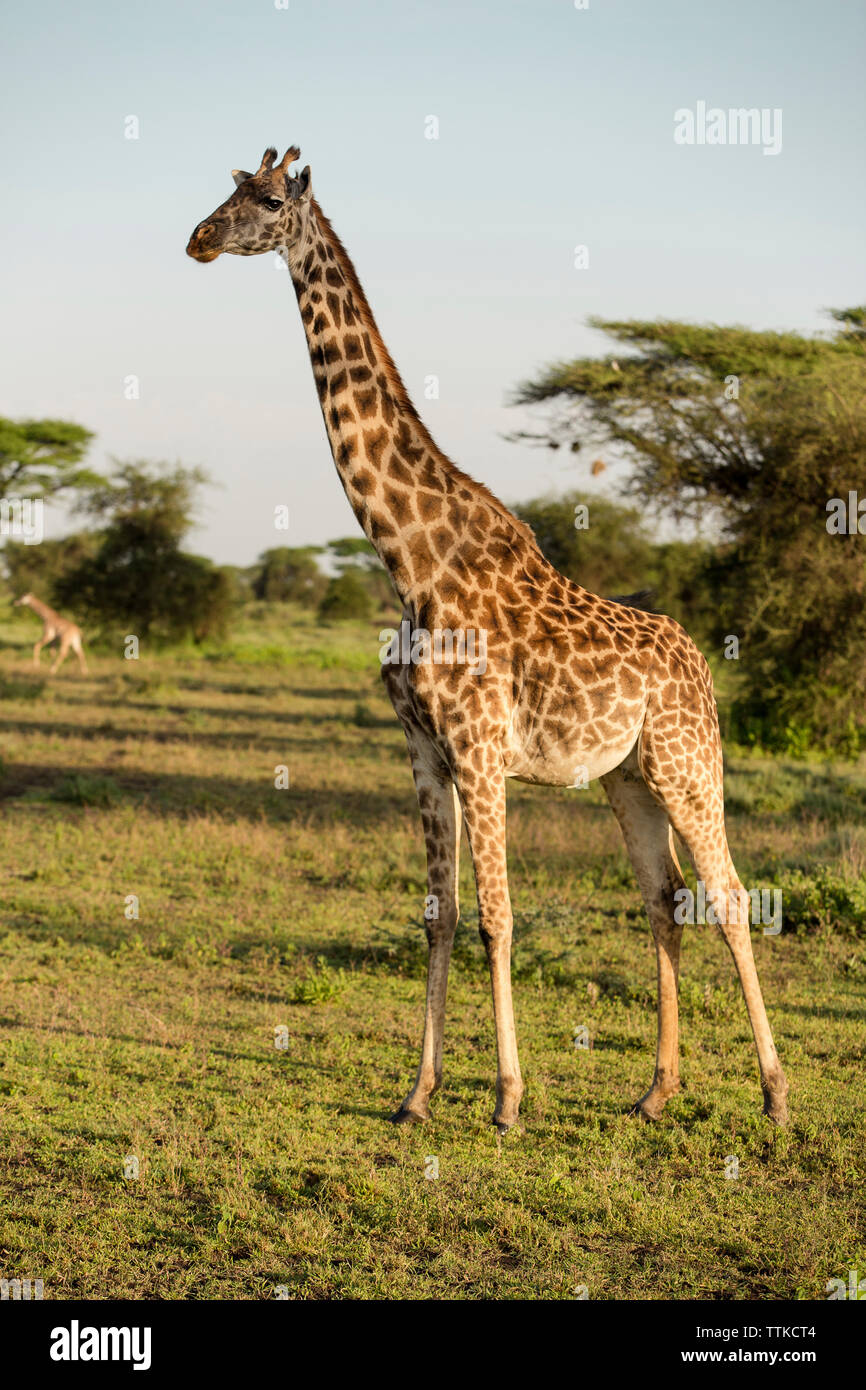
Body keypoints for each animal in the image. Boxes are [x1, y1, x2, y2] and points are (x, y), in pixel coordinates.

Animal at [186, 146, 789, 1133]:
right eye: (227, 191)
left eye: (267, 201)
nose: (198, 238)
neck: (407, 558)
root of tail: (701, 663)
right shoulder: (424, 752)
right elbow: (438, 912)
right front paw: (417, 1094)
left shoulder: (479, 748)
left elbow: (497, 917)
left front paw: (507, 1098)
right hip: (627, 779)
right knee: (662, 902)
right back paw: (656, 1090)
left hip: (688, 761)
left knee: (731, 898)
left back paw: (774, 1093)